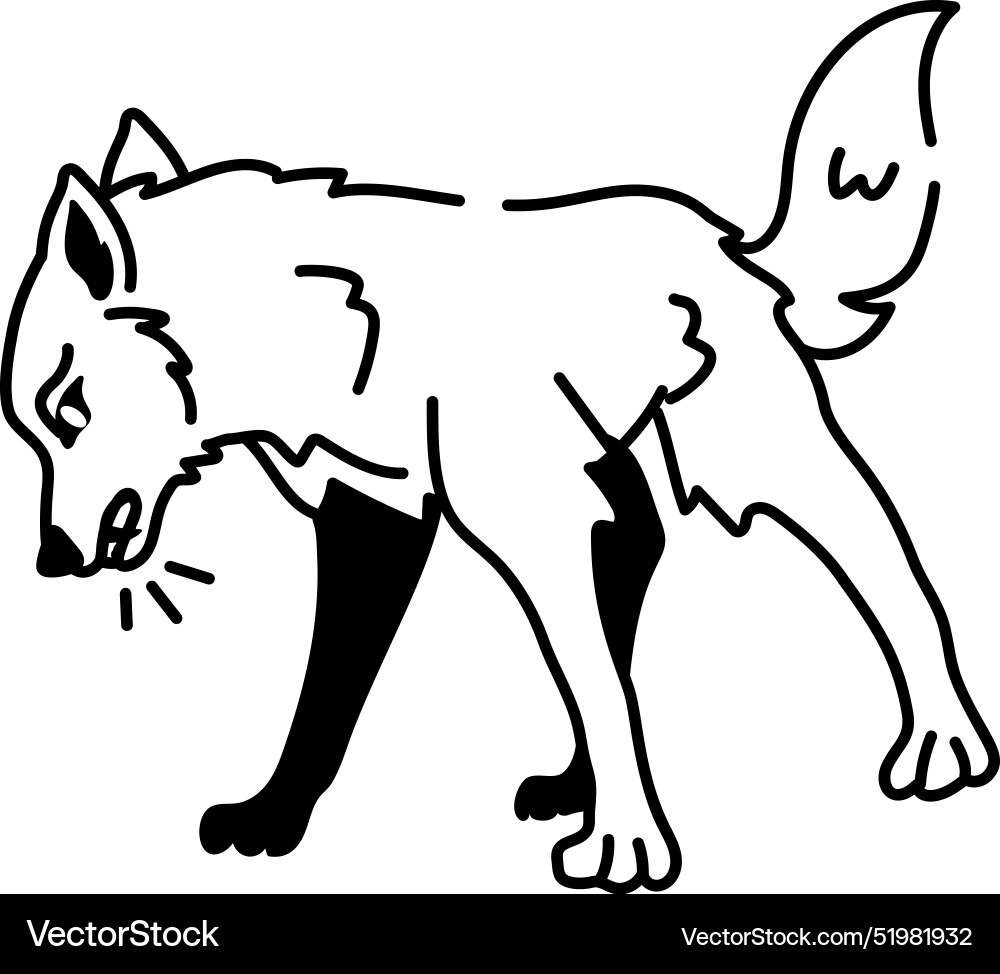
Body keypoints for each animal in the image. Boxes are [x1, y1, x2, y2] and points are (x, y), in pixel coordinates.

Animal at [2, 1, 995, 892]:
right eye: (34, 430)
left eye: (65, 410)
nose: (52, 560)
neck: (322, 325)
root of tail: (734, 245)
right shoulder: (375, 517)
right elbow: (327, 694)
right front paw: (274, 819)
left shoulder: (520, 523)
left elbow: (591, 681)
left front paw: (627, 848)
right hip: (614, 475)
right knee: (641, 553)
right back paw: (576, 783)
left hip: (761, 465)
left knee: (894, 573)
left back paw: (945, 746)